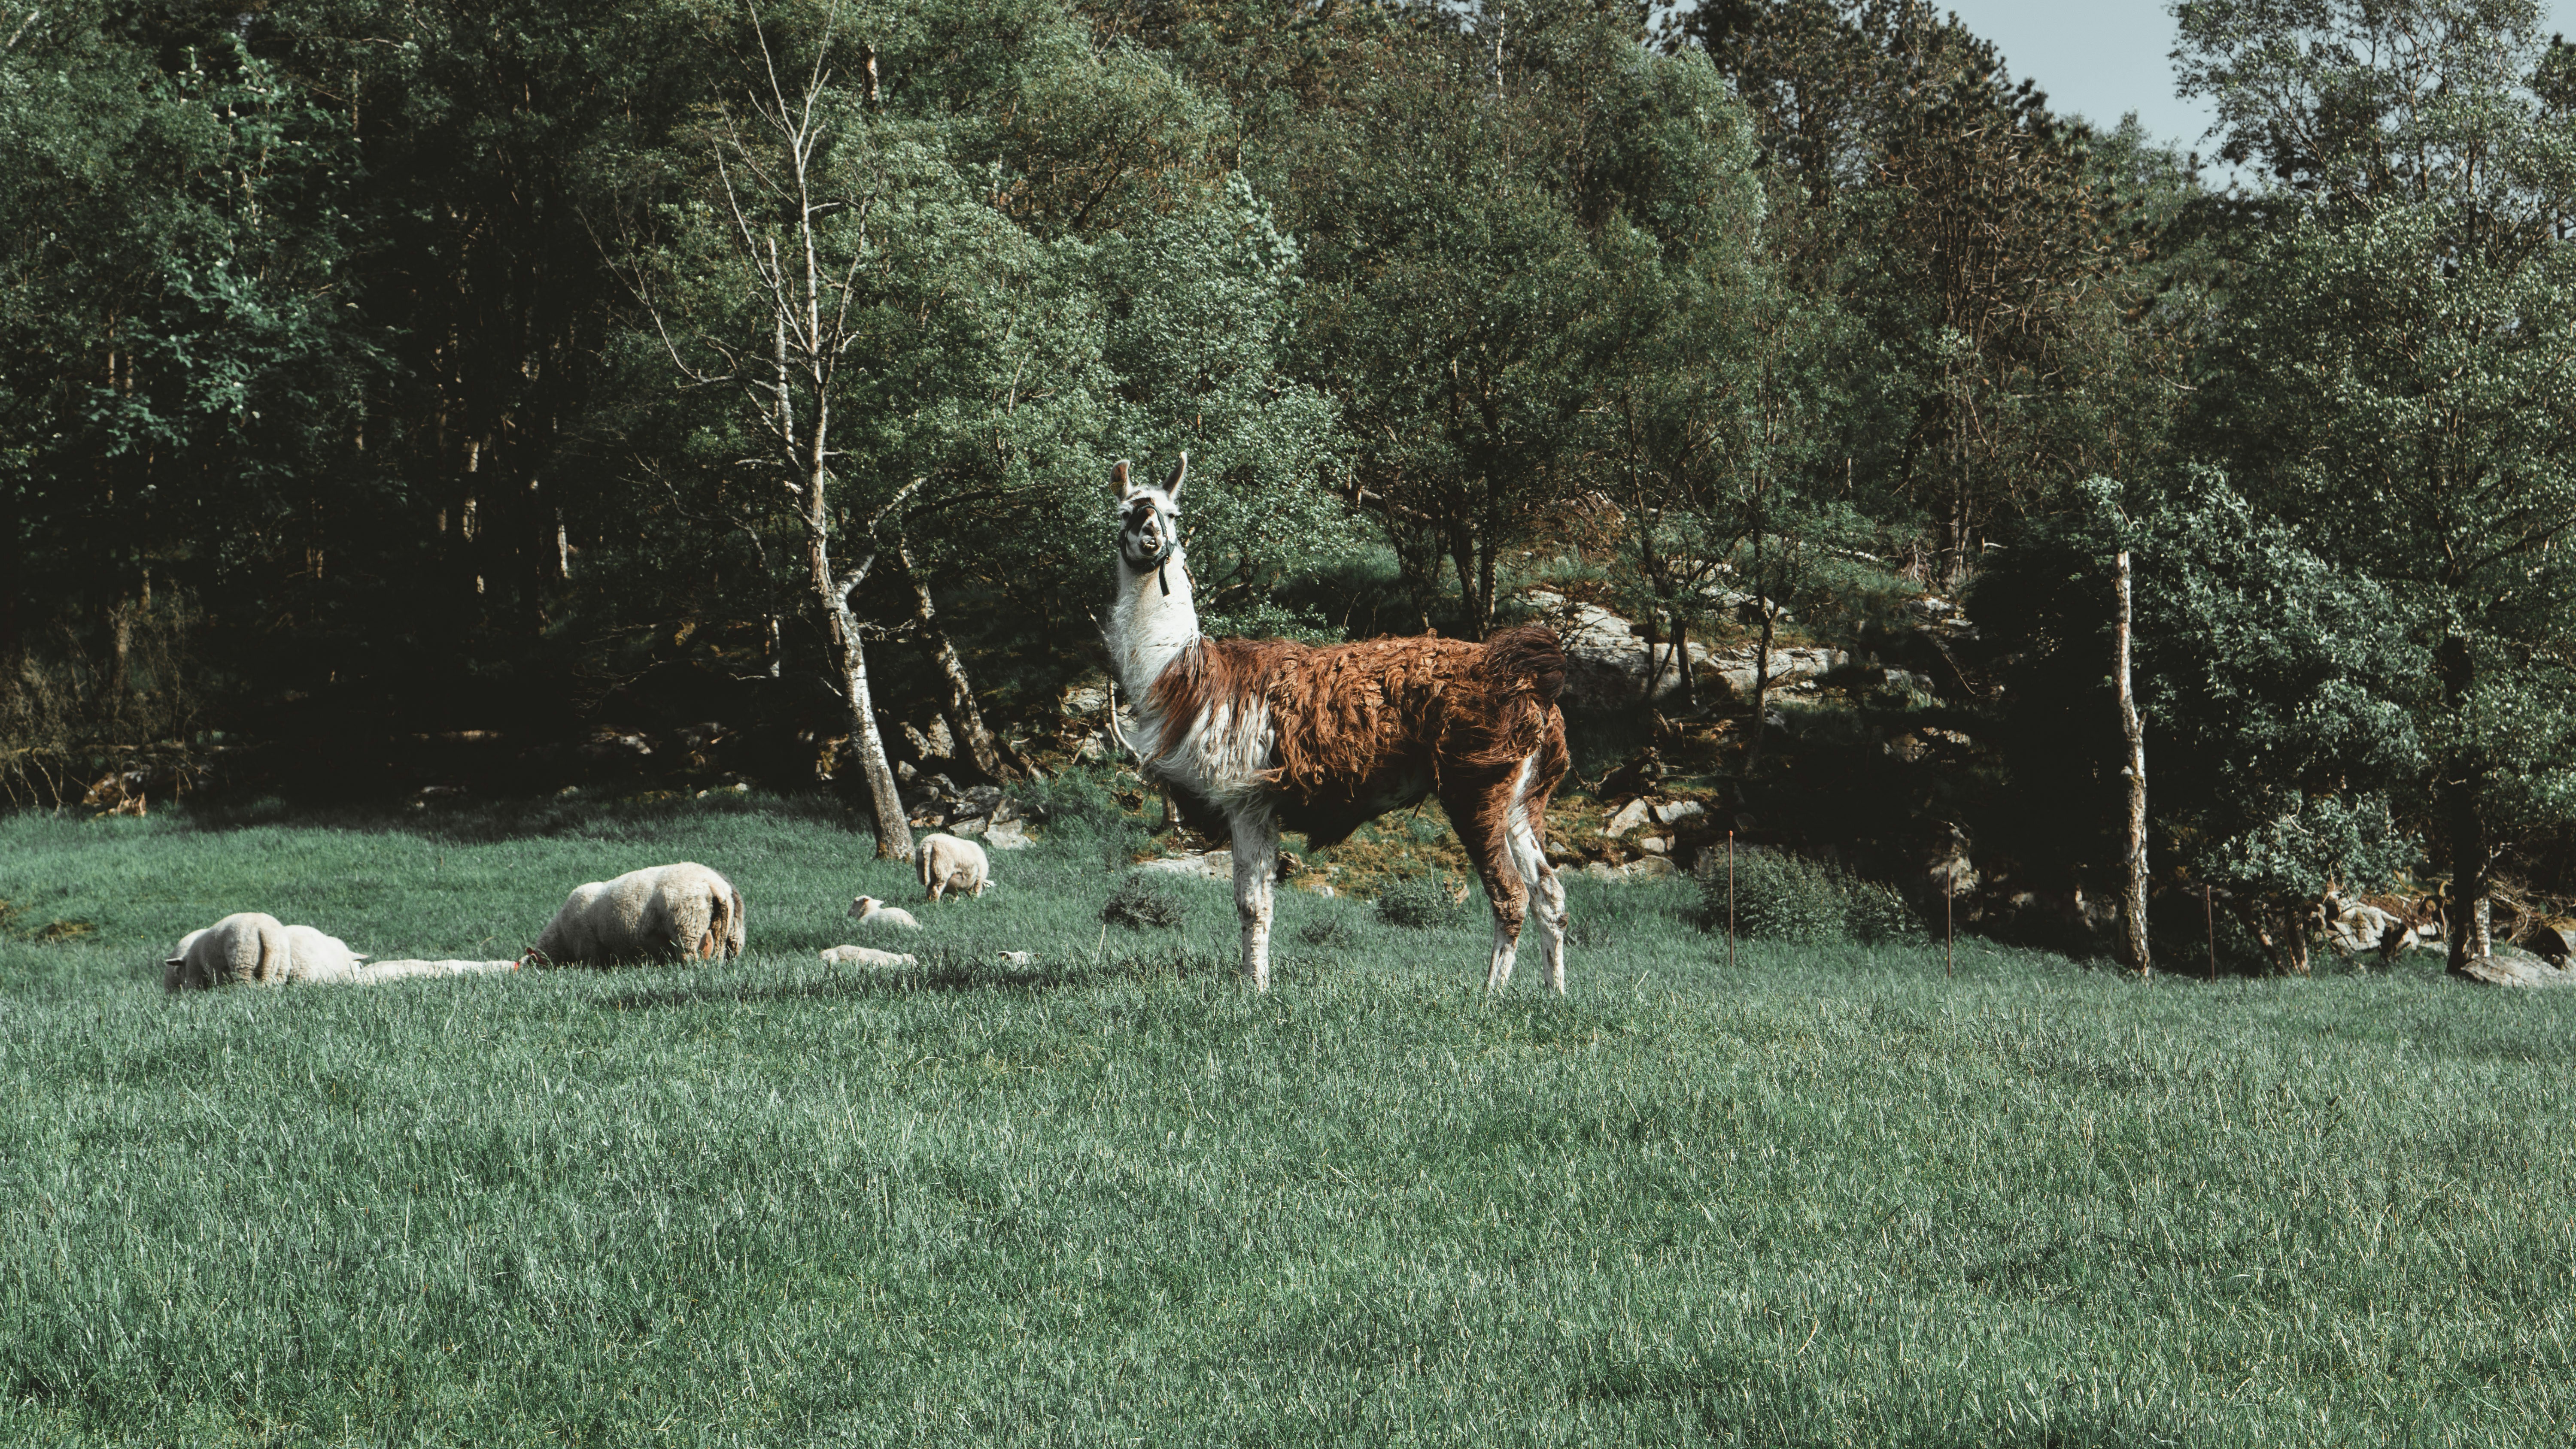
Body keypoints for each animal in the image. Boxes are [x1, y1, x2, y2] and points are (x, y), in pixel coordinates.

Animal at [535, 862, 746, 965]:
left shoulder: (587, 947)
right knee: (721, 951)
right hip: (729, 929)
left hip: (688, 926)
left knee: (691, 955)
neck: (562, 936)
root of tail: (715, 885)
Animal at [917, 832, 991, 902]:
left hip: (925, 870)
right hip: (942, 868)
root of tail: (929, 843)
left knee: (929, 889)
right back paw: (936, 904)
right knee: (937, 889)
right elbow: (976, 890)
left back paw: (929, 902)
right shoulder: (979, 878)